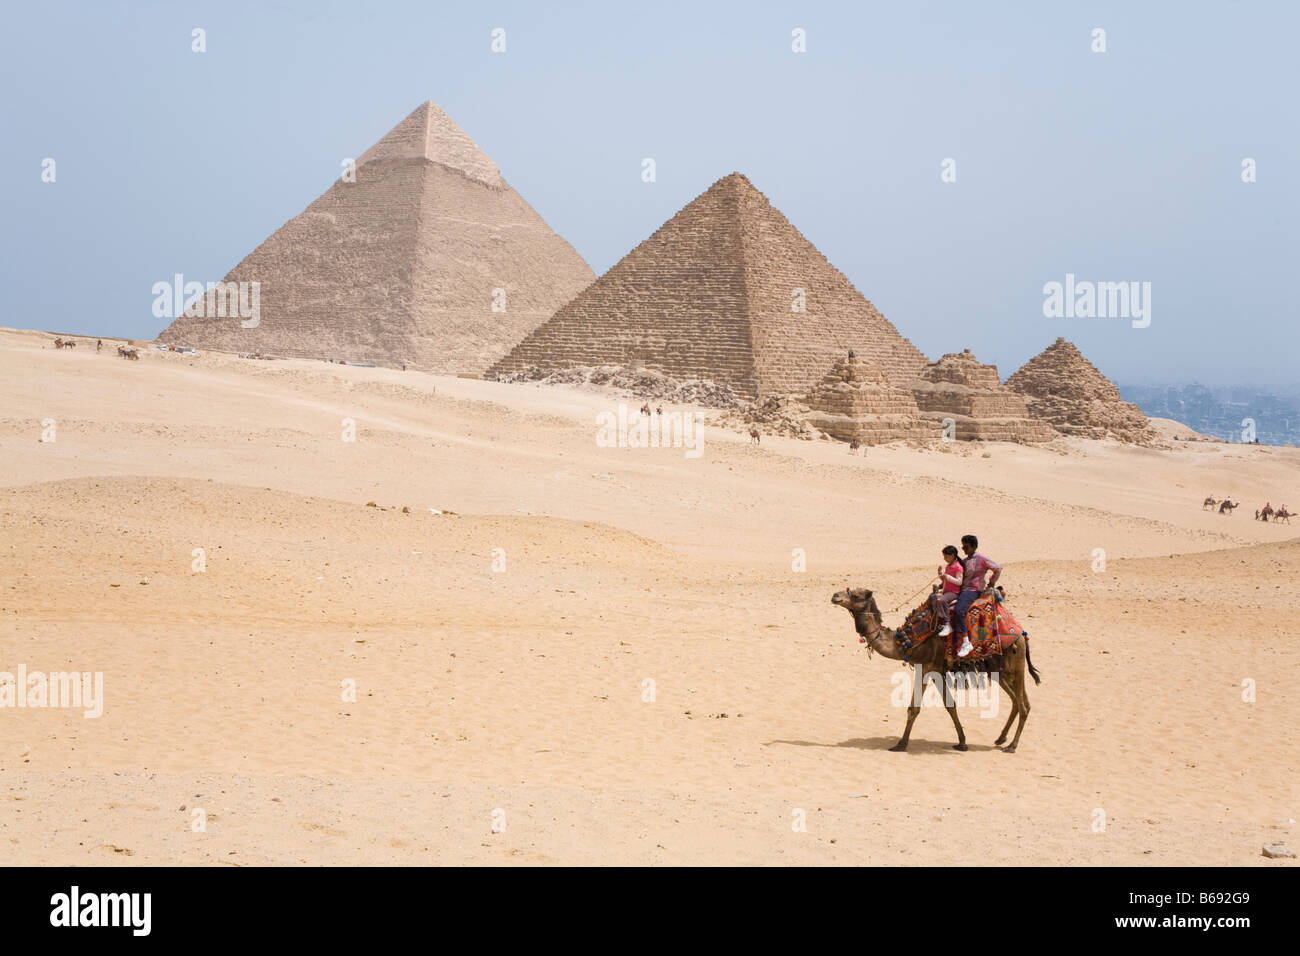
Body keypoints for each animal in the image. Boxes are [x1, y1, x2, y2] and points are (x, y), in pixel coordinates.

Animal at [832, 587, 1040, 753]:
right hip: (998, 671)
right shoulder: (936, 670)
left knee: (1023, 705)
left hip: (1015, 665)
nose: (835, 596)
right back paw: (1000, 738)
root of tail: (1021, 633)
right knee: (1019, 701)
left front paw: (901, 744)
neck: (906, 641)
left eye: (856, 595)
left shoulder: (926, 667)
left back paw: (1011, 746)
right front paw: (962, 742)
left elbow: (914, 708)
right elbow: (950, 705)